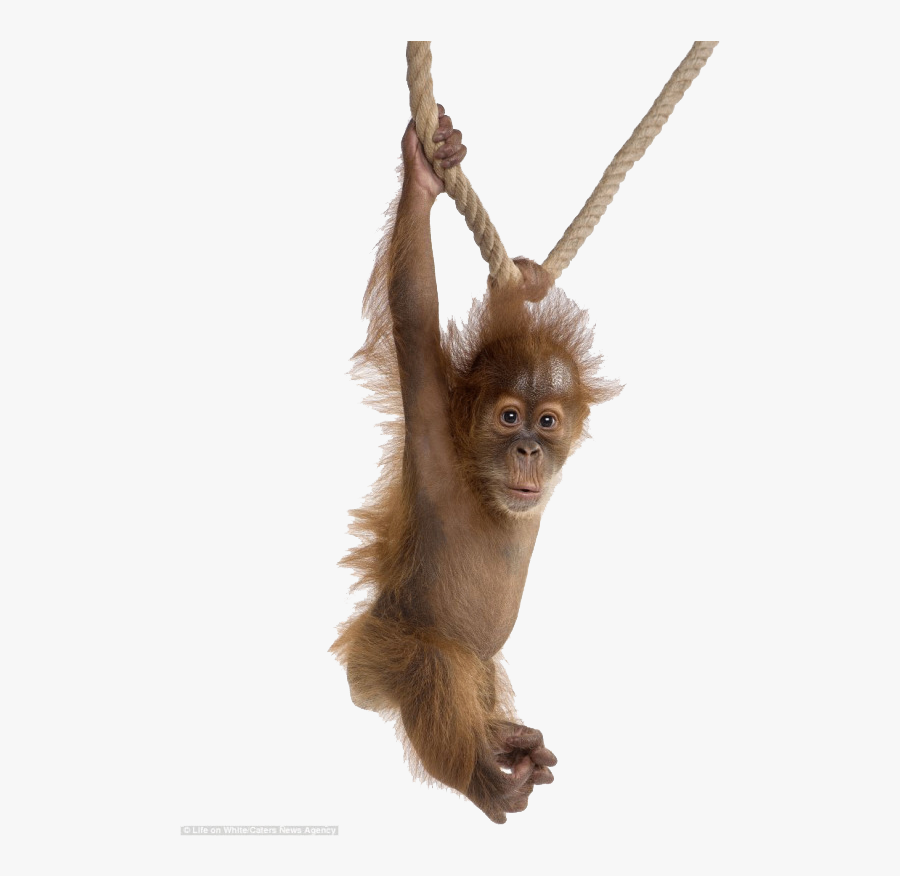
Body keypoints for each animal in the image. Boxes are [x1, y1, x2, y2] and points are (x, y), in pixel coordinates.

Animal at [331, 106, 620, 823]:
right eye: (509, 417)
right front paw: (422, 177)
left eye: (548, 422)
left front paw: (526, 279)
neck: (488, 492)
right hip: (386, 650)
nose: (528, 450)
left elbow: (506, 314)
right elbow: (414, 311)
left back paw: (508, 740)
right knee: (433, 668)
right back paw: (489, 777)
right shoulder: (435, 436)